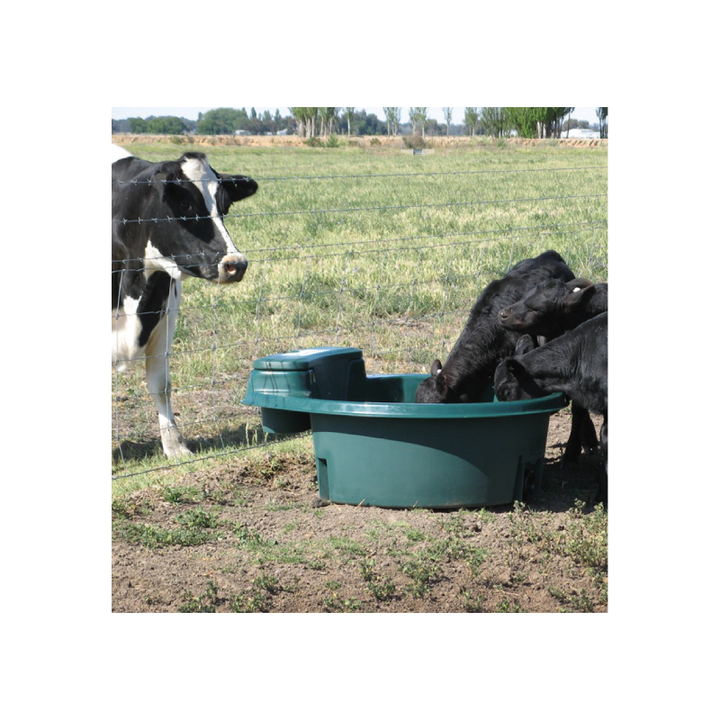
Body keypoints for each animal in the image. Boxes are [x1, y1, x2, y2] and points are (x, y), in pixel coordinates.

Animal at [112, 147, 258, 457]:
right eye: (186, 205)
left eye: (224, 207)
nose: (236, 264)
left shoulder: (164, 315)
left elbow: (161, 385)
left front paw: (175, 446)